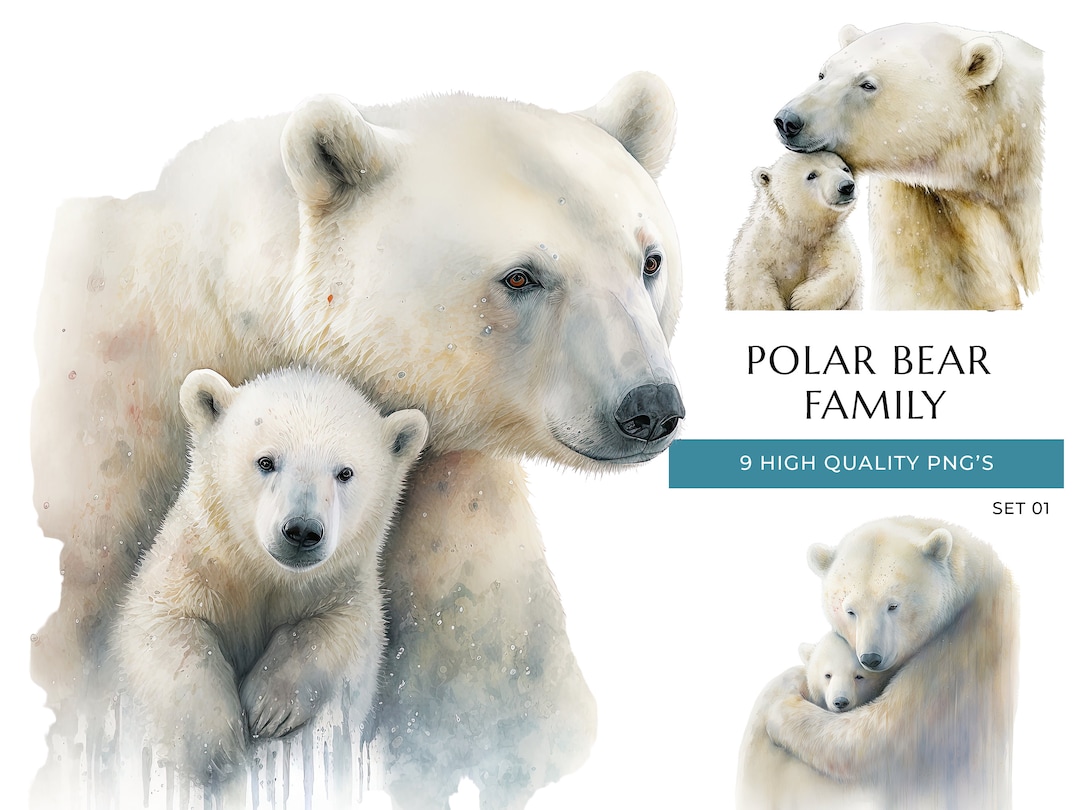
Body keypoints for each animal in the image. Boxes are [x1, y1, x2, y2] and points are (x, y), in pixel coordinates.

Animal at [111, 367, 428, 784]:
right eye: (265, 461)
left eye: (345, 472)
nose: (303, 531)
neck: (264, 573)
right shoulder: (194, 565)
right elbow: (165, 627)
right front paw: (215, 747)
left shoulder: (341, 585)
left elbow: (340, 630)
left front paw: (267, 707)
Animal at [726, 151, 862, 310]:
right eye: (812, 175)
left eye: (845, 169)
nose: (847, 186)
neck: (799, 229)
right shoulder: (761, 242)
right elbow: (752, 281)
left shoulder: (828, 238)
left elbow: (843, 266)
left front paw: (800, 300)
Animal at [762, 517, 1018, 809]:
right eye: (850, 610)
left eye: (893, 605)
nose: (871, 658)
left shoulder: (958, 658)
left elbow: (879, 740)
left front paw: (779, 707)